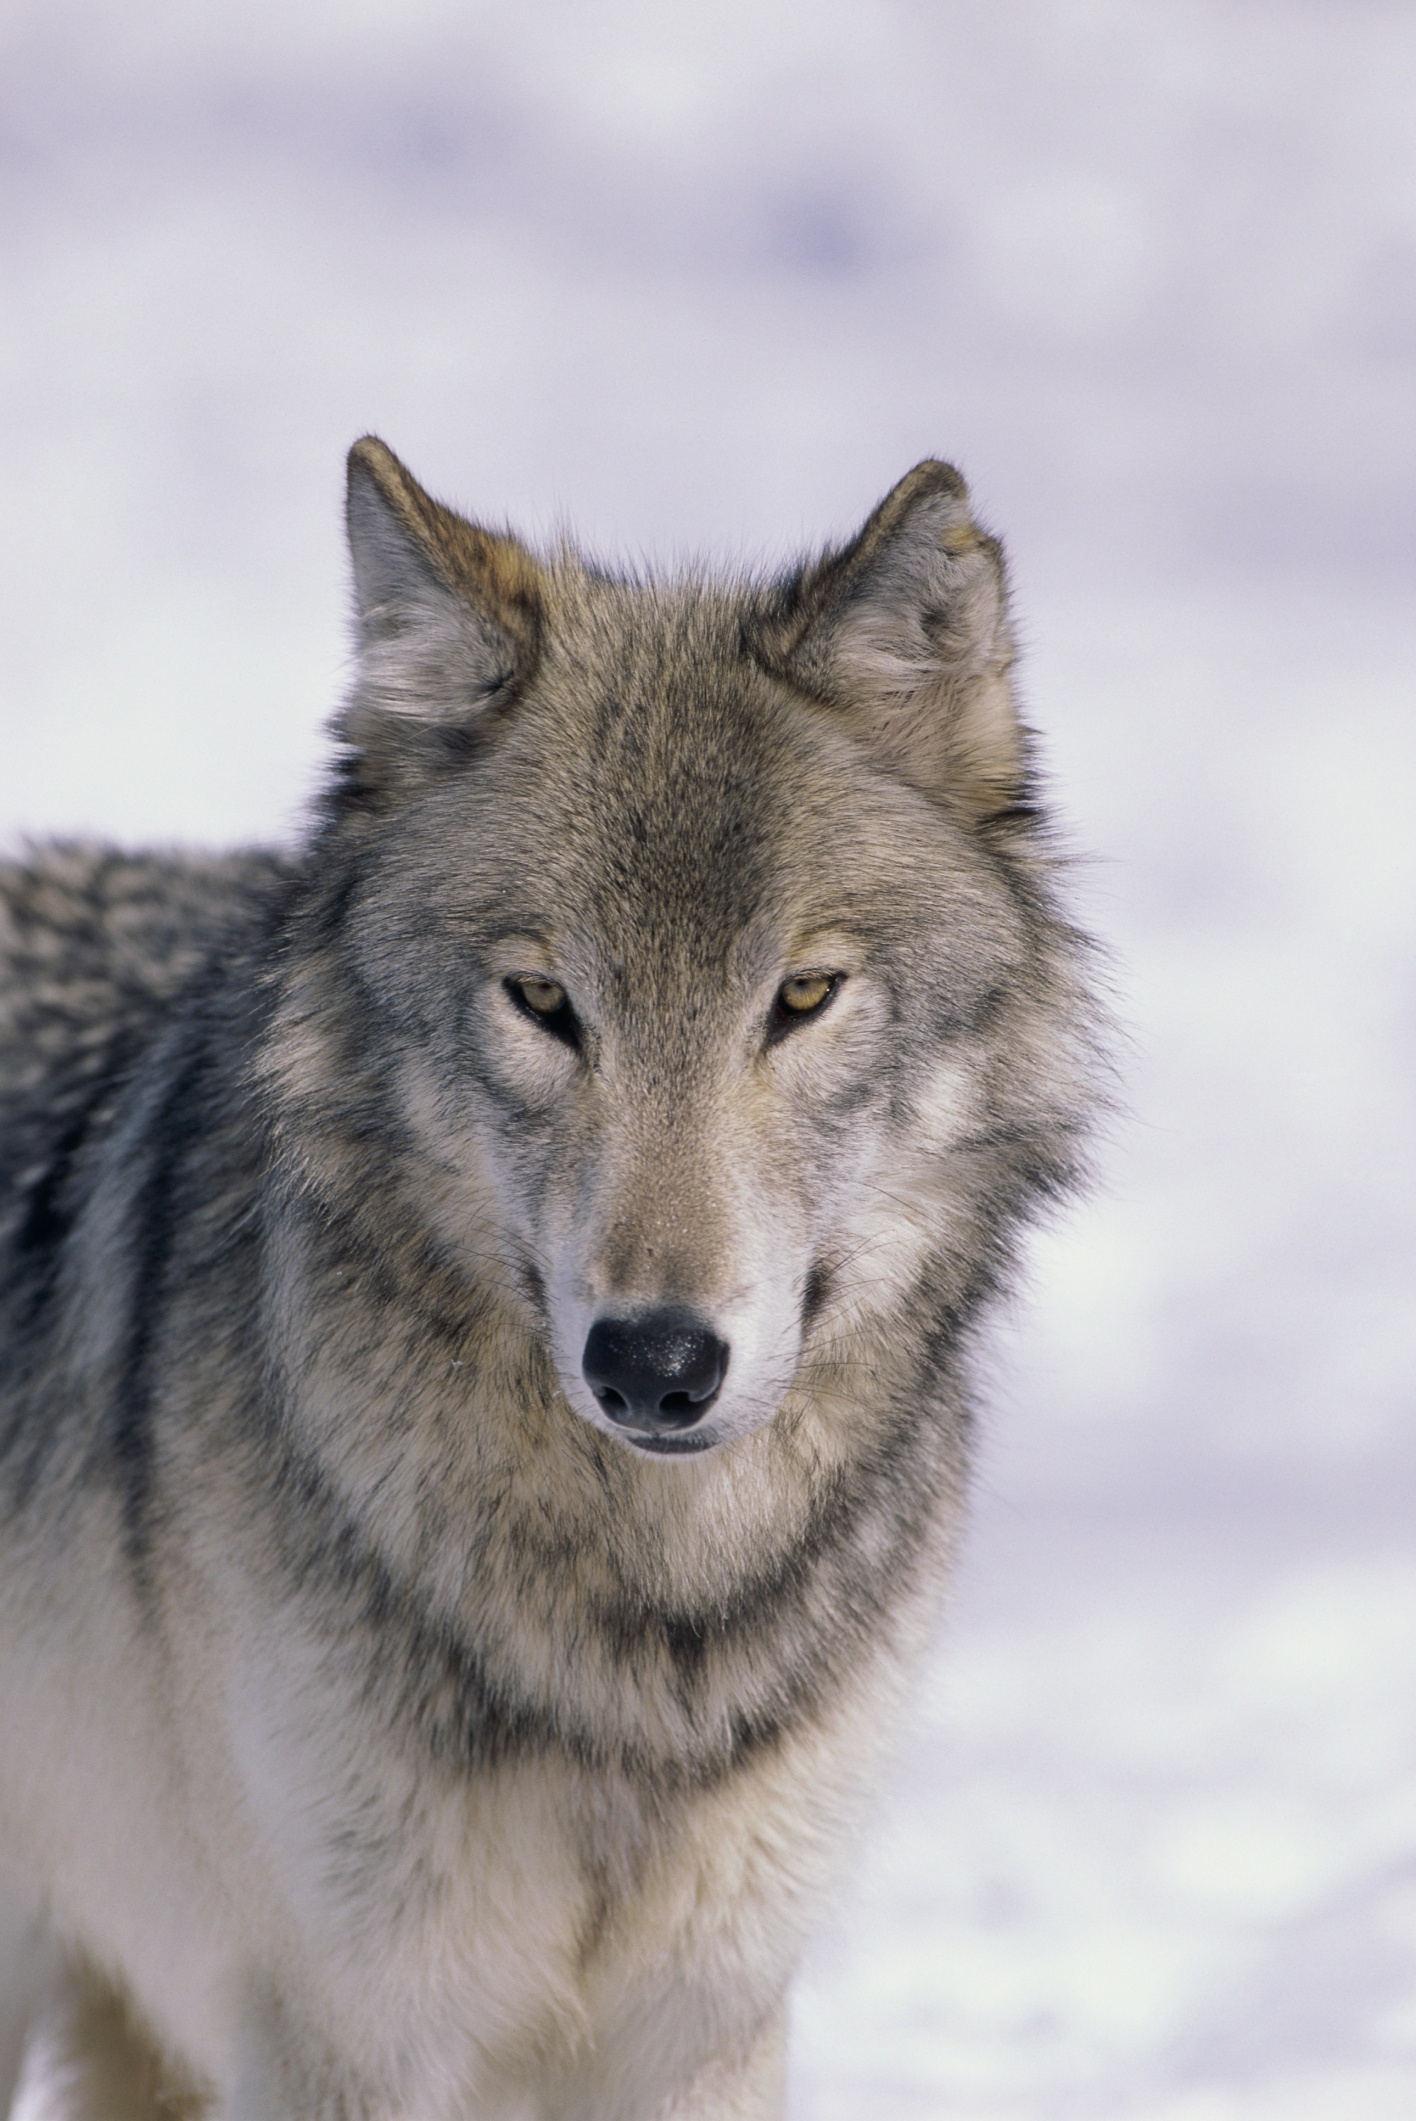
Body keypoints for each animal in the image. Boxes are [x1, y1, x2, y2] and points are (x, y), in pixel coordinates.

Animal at [0, 439, 1099, 2119]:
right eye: (543, 999)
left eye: (801, 995)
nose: (655, 1362)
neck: (643, 1630)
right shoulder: (347, 2031)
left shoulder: (706, 2022)